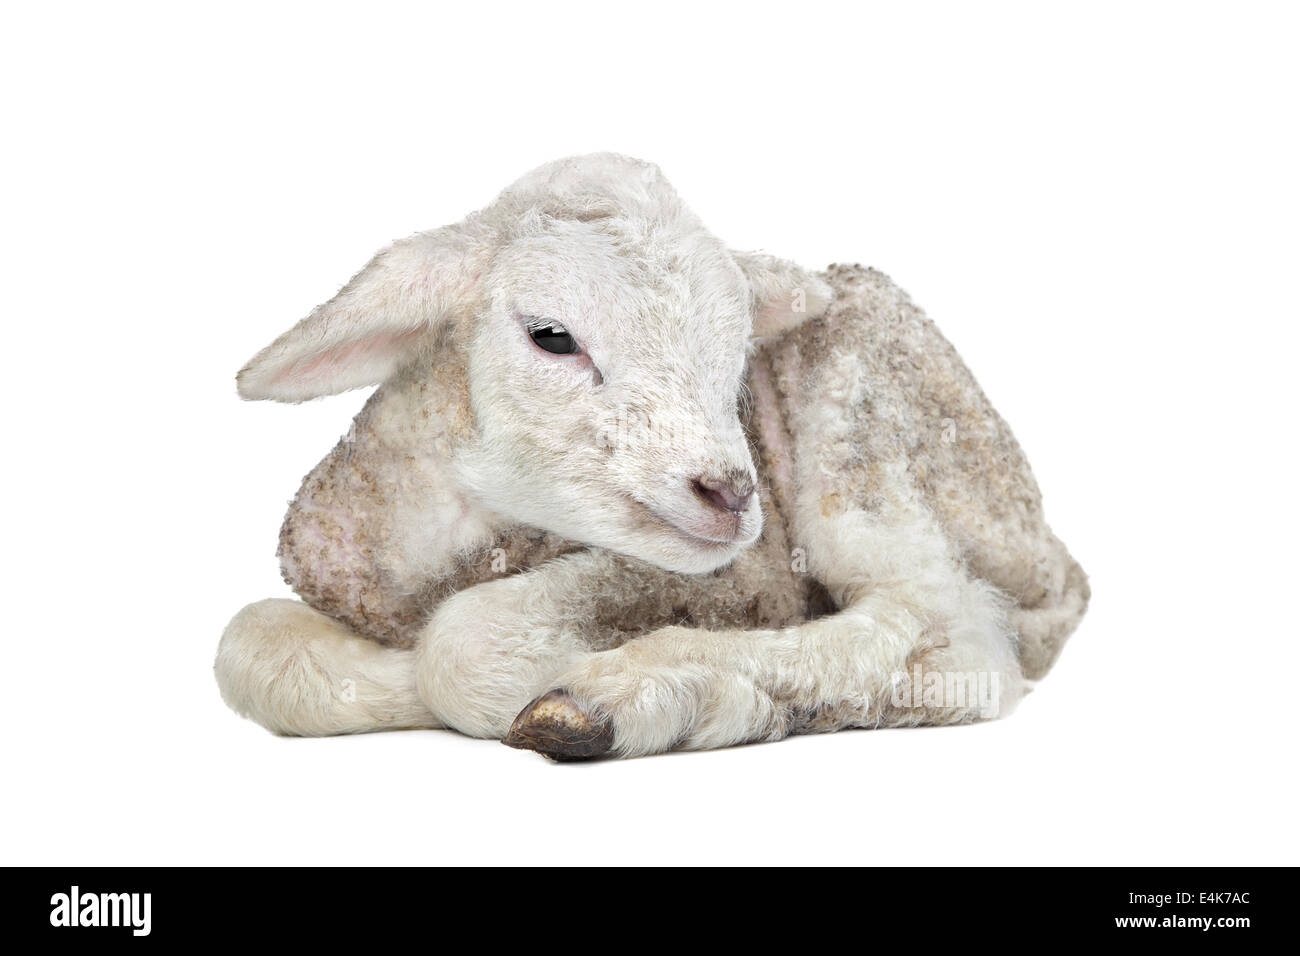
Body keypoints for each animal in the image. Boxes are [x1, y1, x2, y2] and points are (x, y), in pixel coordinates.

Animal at [215, 153, 1089, 760]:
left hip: (869, 417)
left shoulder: (730, 578)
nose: (732, 493)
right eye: (552, 336)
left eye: (738, 357)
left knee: (947, 635)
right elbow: (250, 645)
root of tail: (1056, 558)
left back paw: (641, 695)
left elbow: (465, 646)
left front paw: (558, 675)